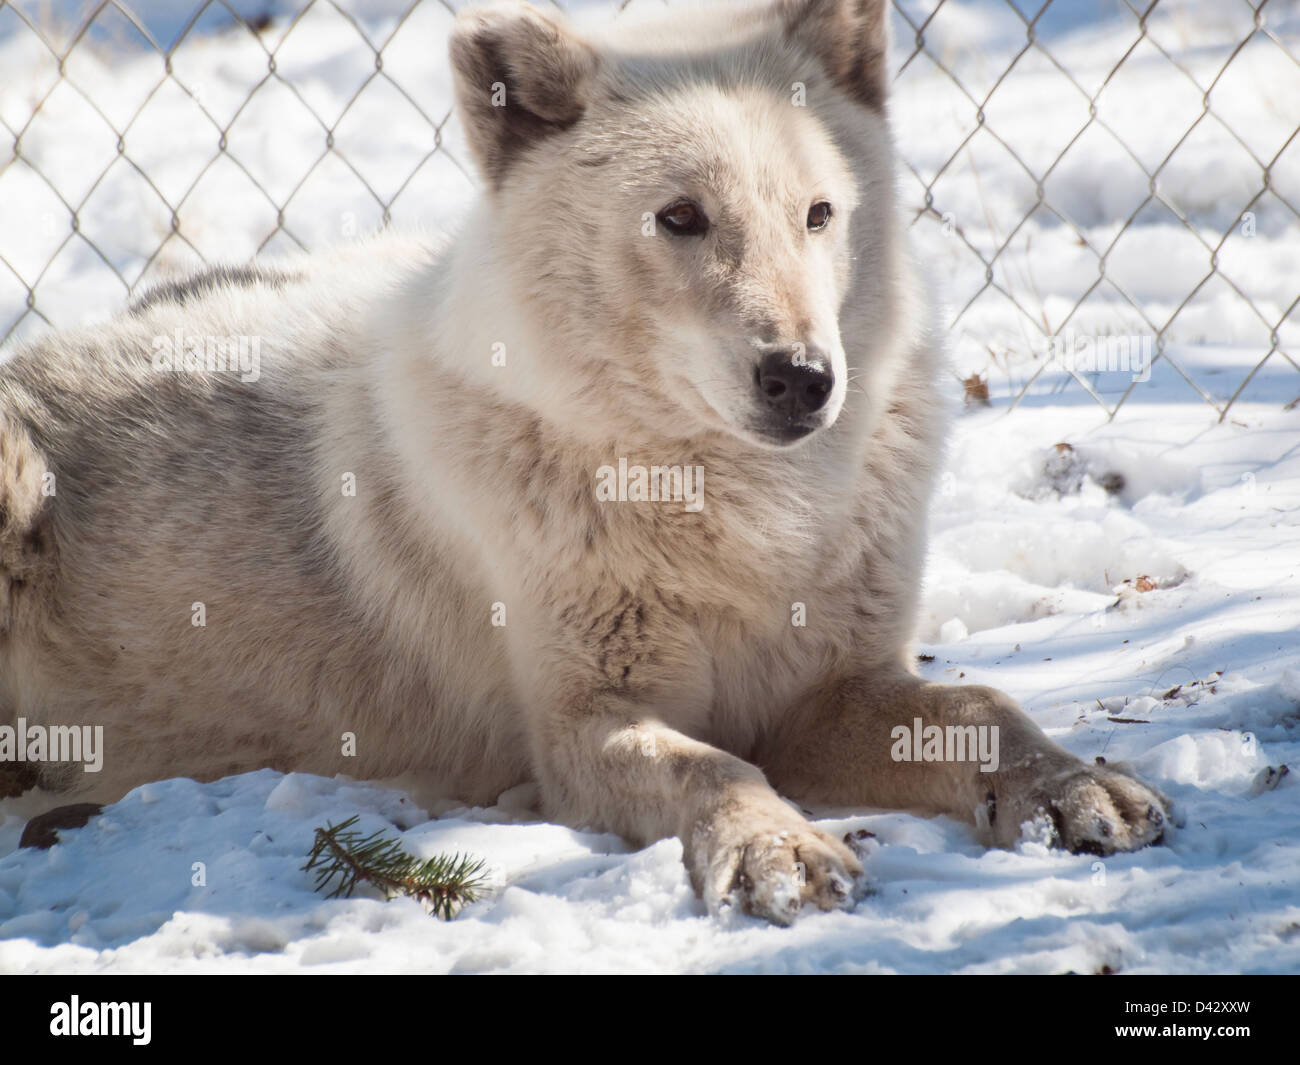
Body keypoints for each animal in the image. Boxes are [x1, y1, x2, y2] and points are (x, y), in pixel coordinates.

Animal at [0, 0, 1168, 923]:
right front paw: (779, 847)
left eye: (819, 215)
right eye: (681, 218)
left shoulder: (830, 689)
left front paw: (1072, 786)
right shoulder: (579, 727)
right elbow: (712, 764)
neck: (723, 508)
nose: (803, 377)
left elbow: (984, 707)